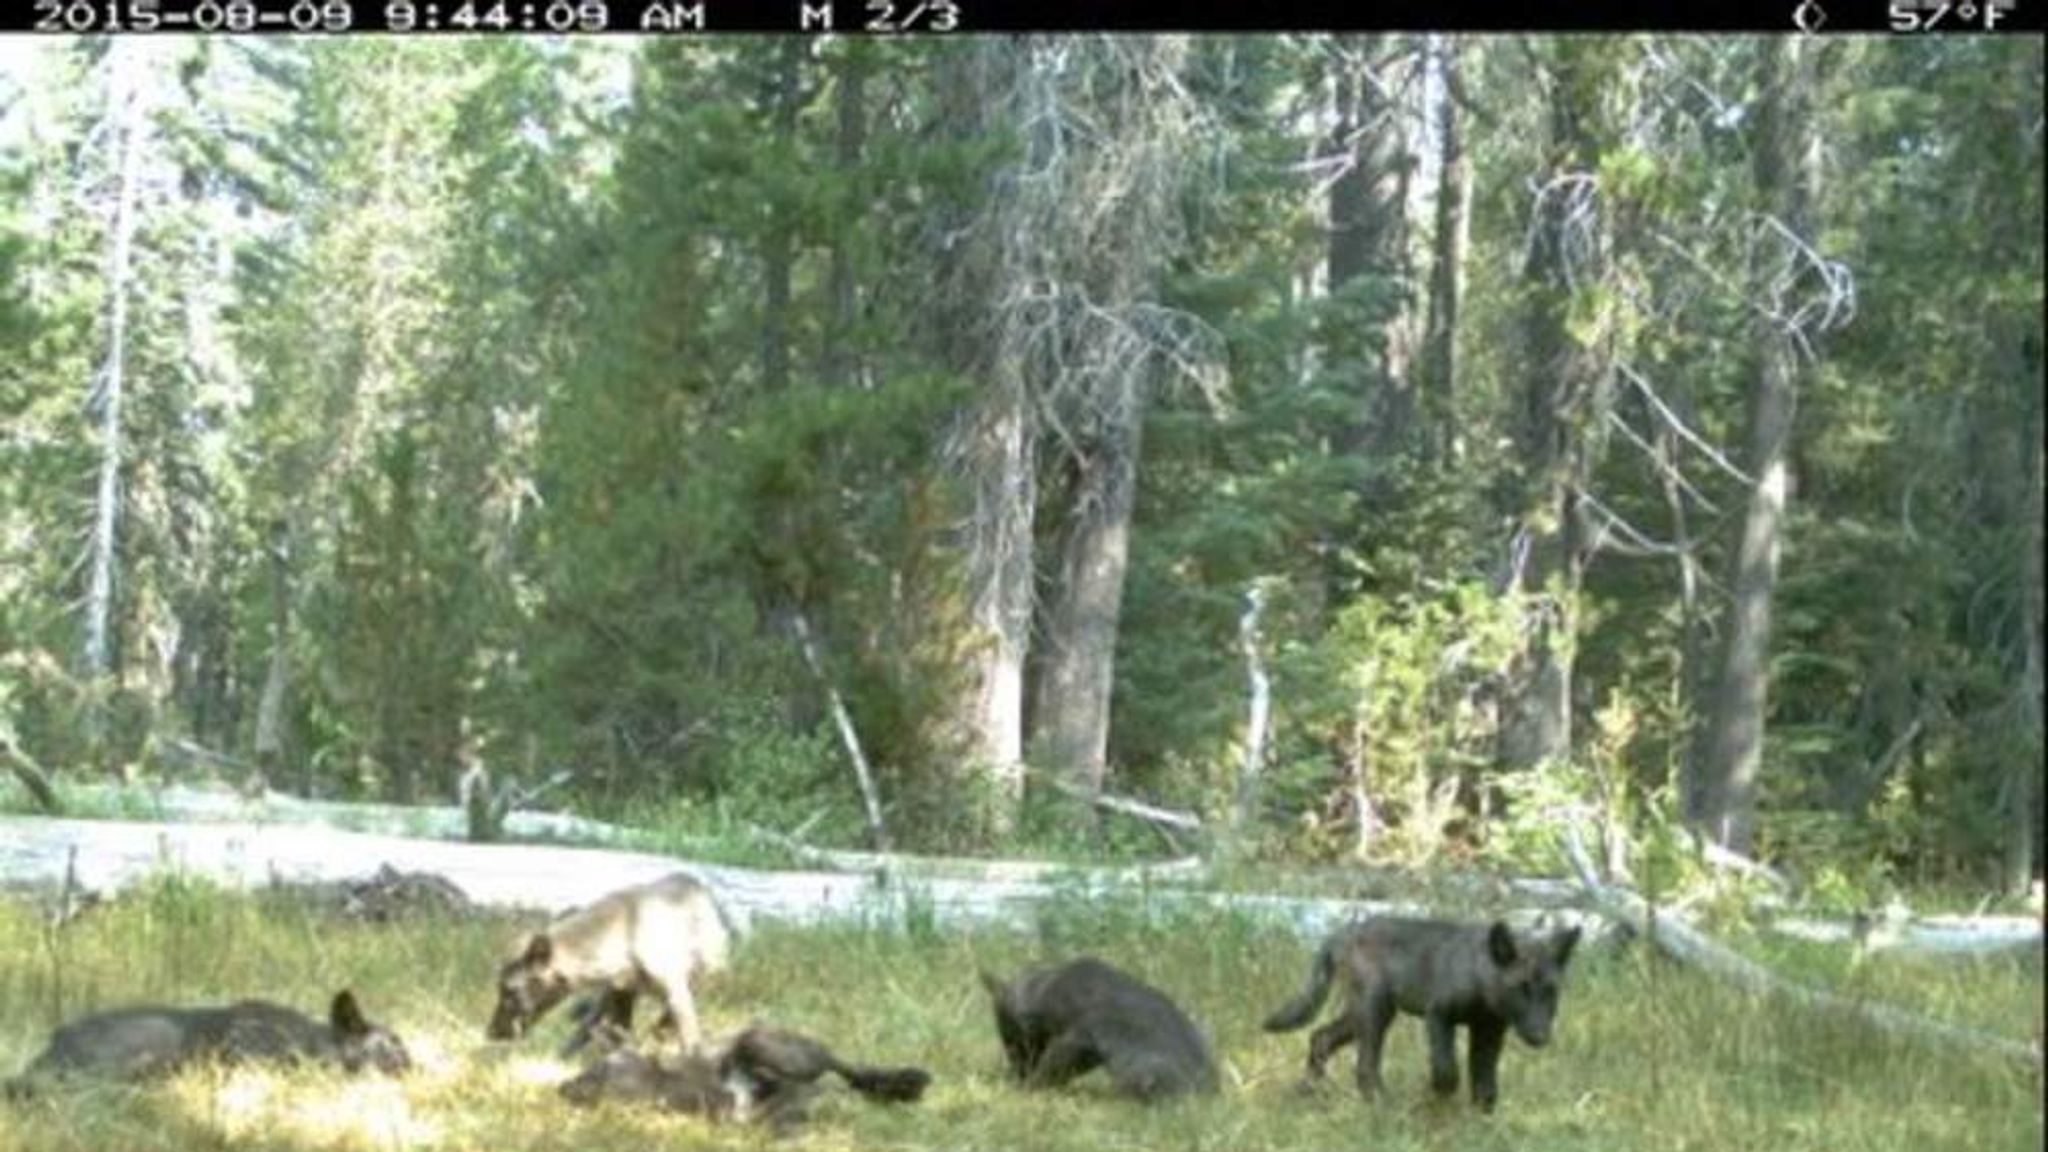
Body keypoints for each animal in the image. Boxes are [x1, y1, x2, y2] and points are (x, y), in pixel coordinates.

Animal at [487, 871, 733, 1056]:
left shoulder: (674, 989)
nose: (491, 1032)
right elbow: (614, 1035)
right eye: (500, 987)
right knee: (589, 1025)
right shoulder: (621, 991)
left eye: (510, 990)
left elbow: (688, 1040)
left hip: (702, 975)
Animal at [1262, 916, 1580, 1111]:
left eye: (1551, 992)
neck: (1479, 979)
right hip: (1375, 1011)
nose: (1540, 1037)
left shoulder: (1488, 1033)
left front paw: (1481, 1123)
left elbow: (1485, 1084)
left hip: (1361, 1015)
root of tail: (1343, 932)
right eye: (1520, 989)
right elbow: (1446, 1070)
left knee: (1320, 1037)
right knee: (1365, 1065)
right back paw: (1382, 1106)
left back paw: (1307, 1092)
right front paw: (1436, 1102)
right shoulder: (1438, 1015)